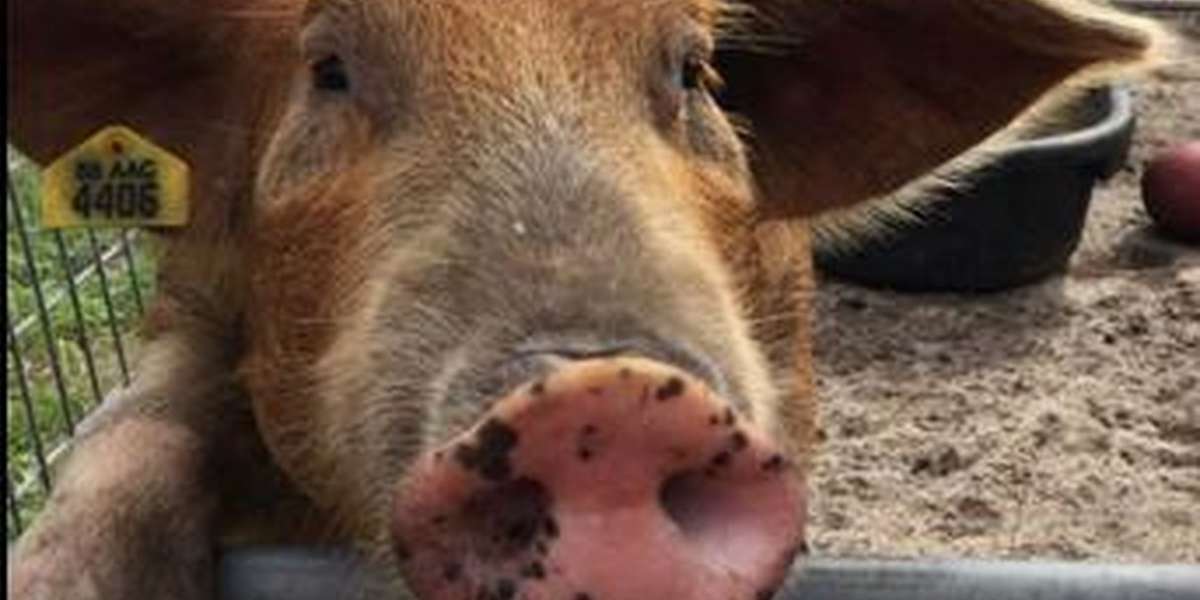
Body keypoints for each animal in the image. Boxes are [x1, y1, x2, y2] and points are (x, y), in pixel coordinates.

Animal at [6, 1, 1168, 599]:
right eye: (327, 69)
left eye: (694, 70)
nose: (601, 393)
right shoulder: (192, 312)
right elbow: (135, 422)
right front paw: (54, 582)